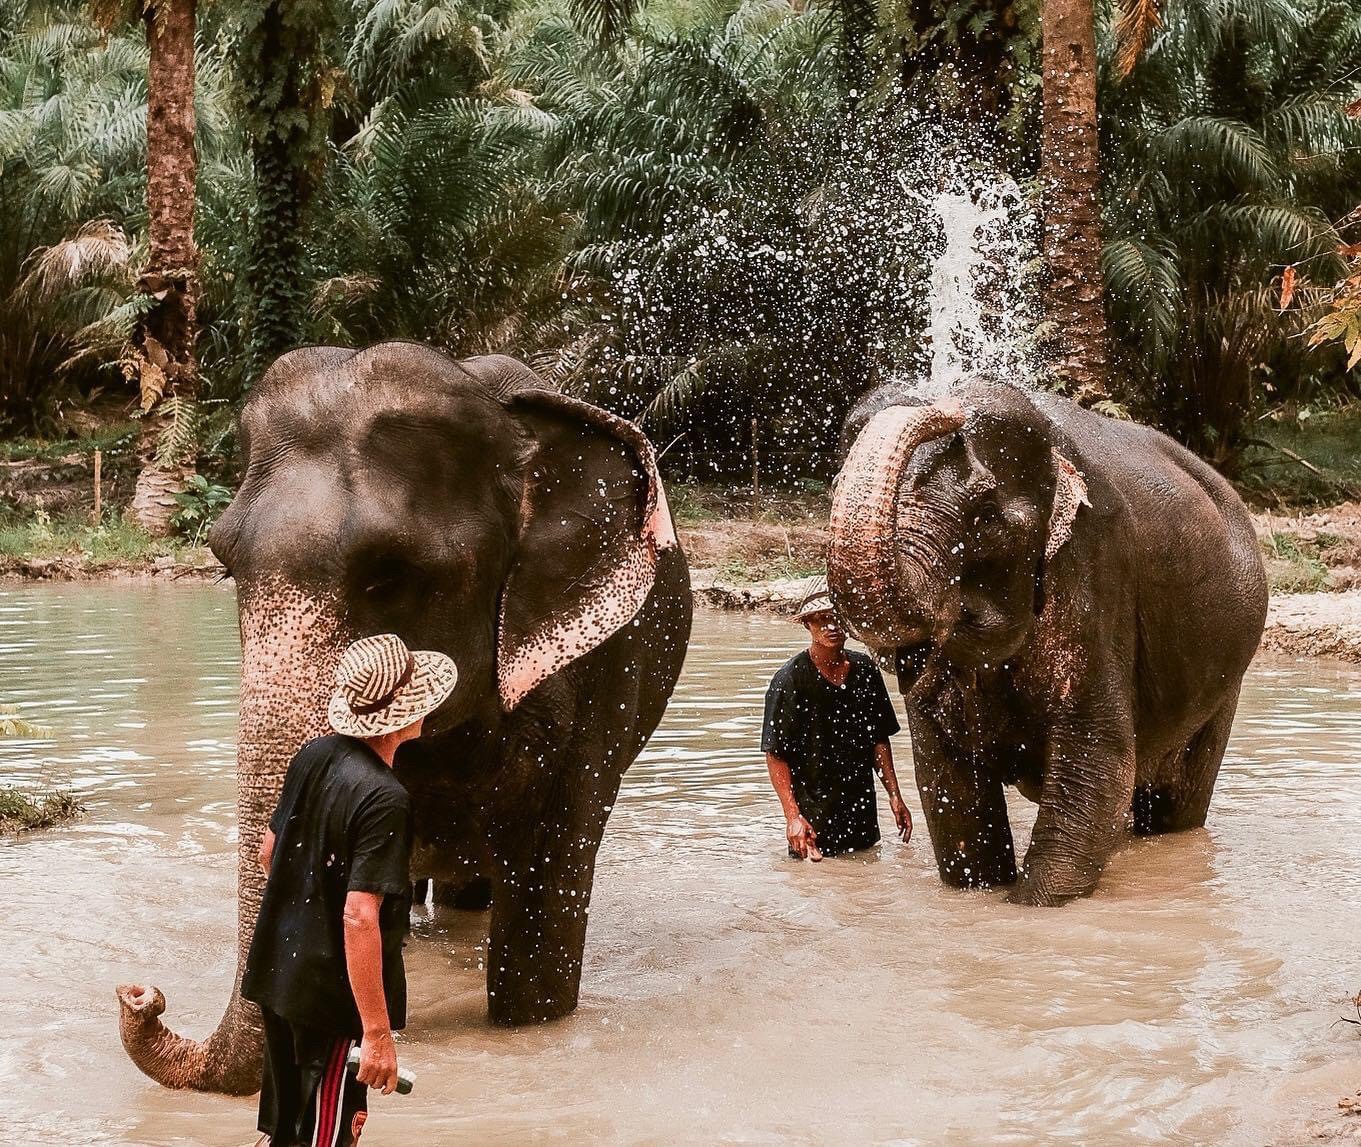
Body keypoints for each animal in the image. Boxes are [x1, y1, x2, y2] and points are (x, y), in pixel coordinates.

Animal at [826, 378, 1267, 906]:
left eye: (987, 517)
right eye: (833, 489)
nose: (944, 403)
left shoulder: (1097, 574)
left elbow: (1096, 766)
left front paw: (1031, 908)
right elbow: (949, 787)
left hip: (1226, 681)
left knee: (1177, 798)